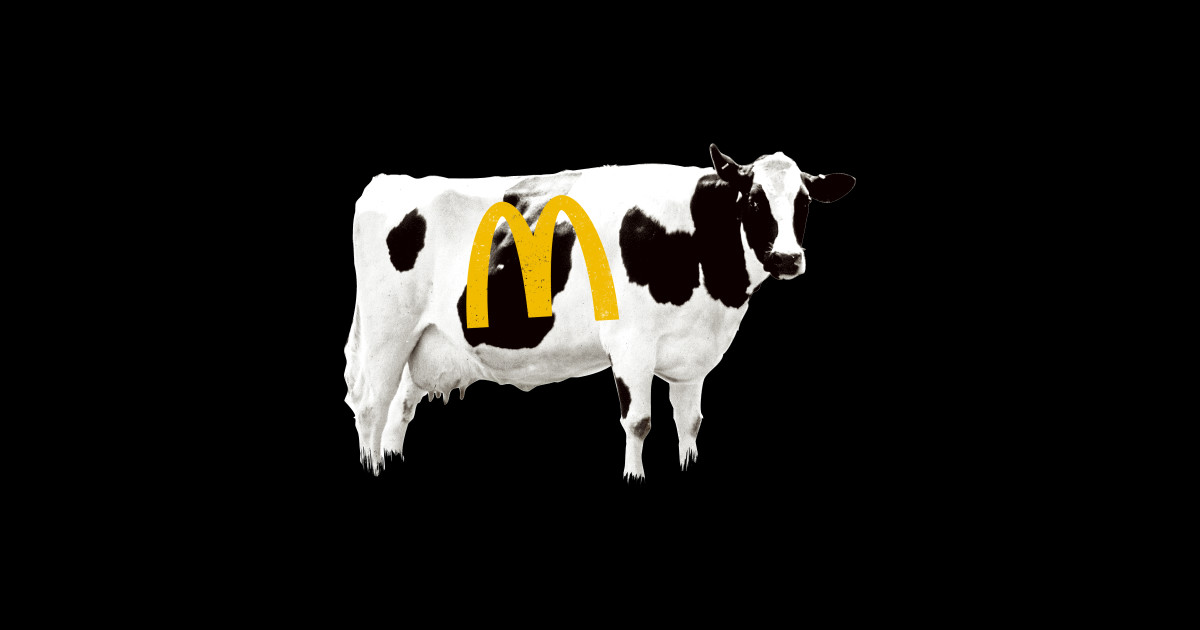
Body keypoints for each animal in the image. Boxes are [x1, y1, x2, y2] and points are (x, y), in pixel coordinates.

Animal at [344, 144, 855, 479]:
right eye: (753, 199)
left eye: (804, 202)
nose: (788, 258)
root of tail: (389, 182)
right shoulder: (631, 343)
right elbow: (639, 422)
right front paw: (634, 478)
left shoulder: (693, 358)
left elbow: (689, 422)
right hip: (386, 334)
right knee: (371, 407)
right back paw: (372, 468)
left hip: (423, 345)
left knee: (399, 408)